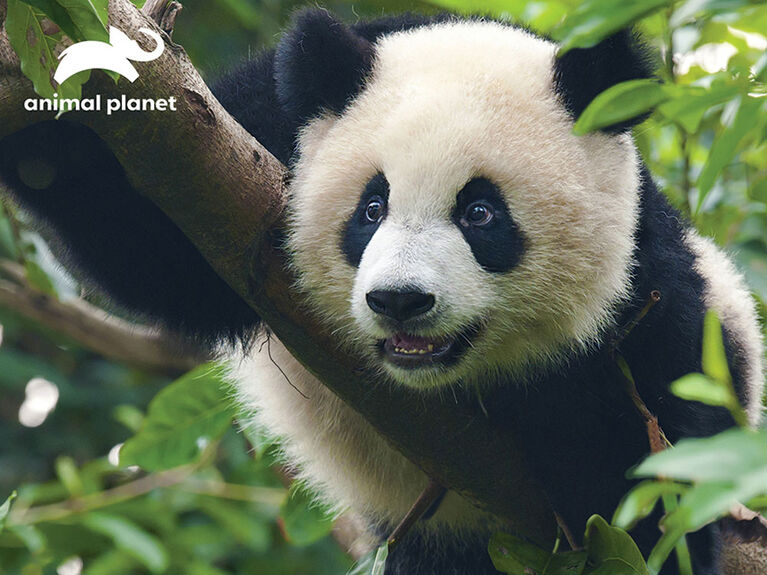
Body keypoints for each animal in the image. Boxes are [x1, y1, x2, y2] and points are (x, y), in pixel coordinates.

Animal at [0, 8, 764, 575]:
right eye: (371, 208)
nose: (400, 300)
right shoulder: (257, 132)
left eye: (480, 214)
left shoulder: (649, 305)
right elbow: (148, 239)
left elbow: (647, 473)